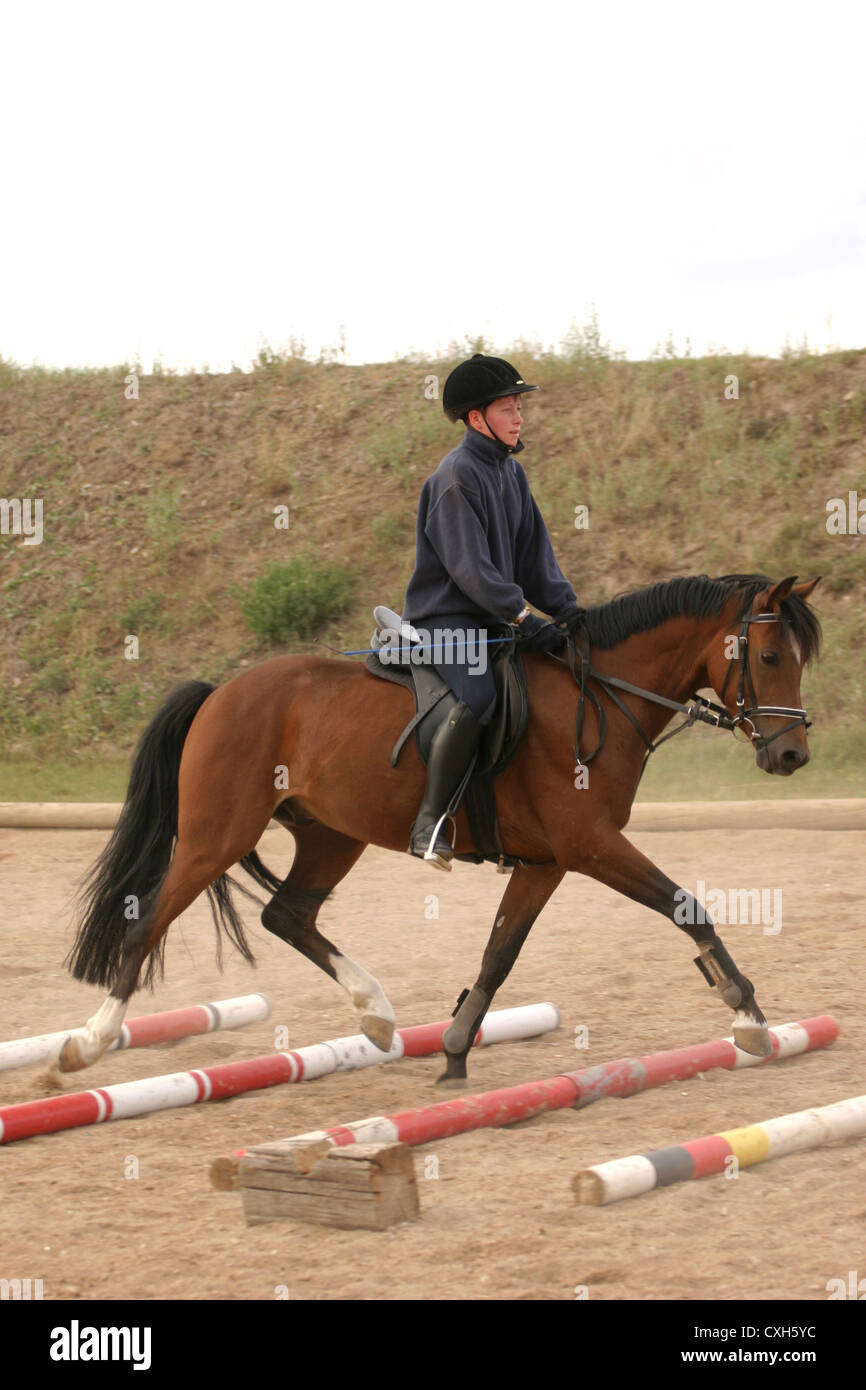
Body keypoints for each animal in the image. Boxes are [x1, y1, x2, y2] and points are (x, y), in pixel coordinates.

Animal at [61, 572, 821, 1086]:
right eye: (770, 656)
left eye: (800, 658)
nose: (792, 757)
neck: (598, 693)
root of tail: (221, 691)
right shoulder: (591, 845)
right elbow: (686, 905)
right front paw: (748, 1017)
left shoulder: (548, 861)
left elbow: (498, 956)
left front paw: (454, 1051)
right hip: (217, 834)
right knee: (147, 921)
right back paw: (89, 1042)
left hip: (332, 835)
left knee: (288, 915)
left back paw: (375, 1013)